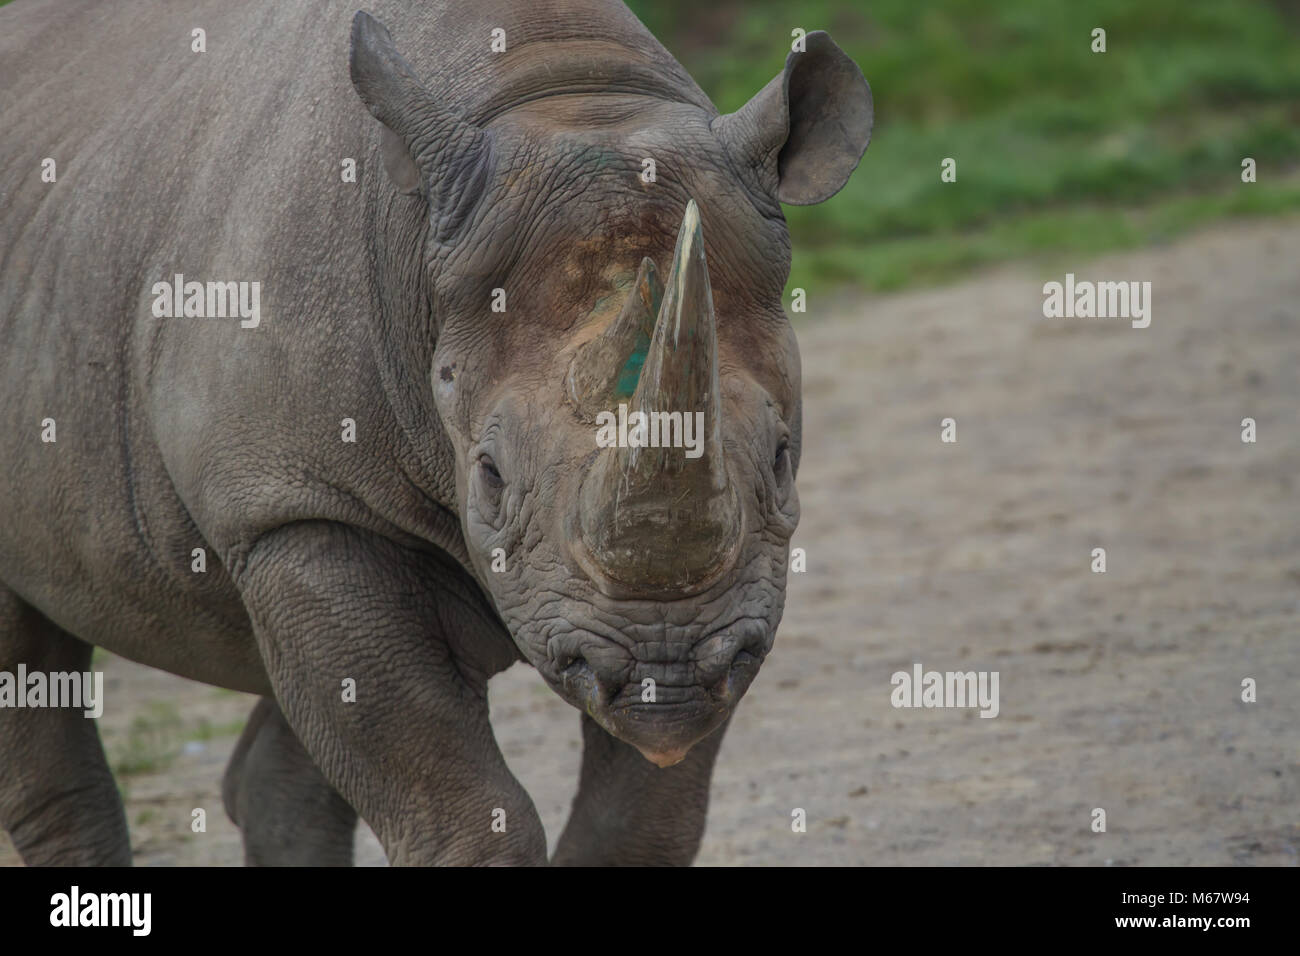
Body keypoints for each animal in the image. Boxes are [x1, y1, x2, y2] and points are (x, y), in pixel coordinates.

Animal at [0, 0, 871, 865]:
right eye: (488, 473)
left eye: (783, 461)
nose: (668, 670)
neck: (566, 93)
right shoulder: (295, 505)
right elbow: (465, 807)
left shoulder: (740, 592)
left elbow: (645, 817)